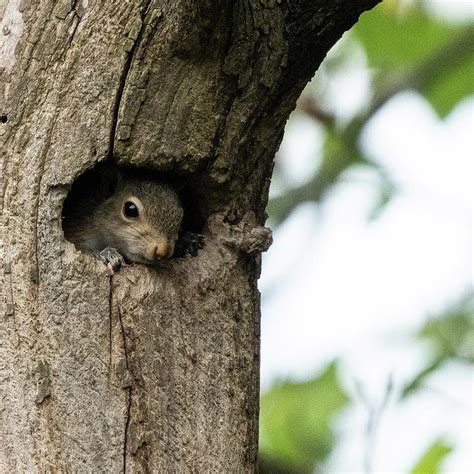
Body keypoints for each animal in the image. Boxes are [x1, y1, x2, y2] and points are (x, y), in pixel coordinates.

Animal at [61, 166, 202, 270]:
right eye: (130, 209)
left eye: (181, 215)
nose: (162, 252)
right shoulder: (79, 227)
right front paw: (107, 254)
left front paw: (188, 241)